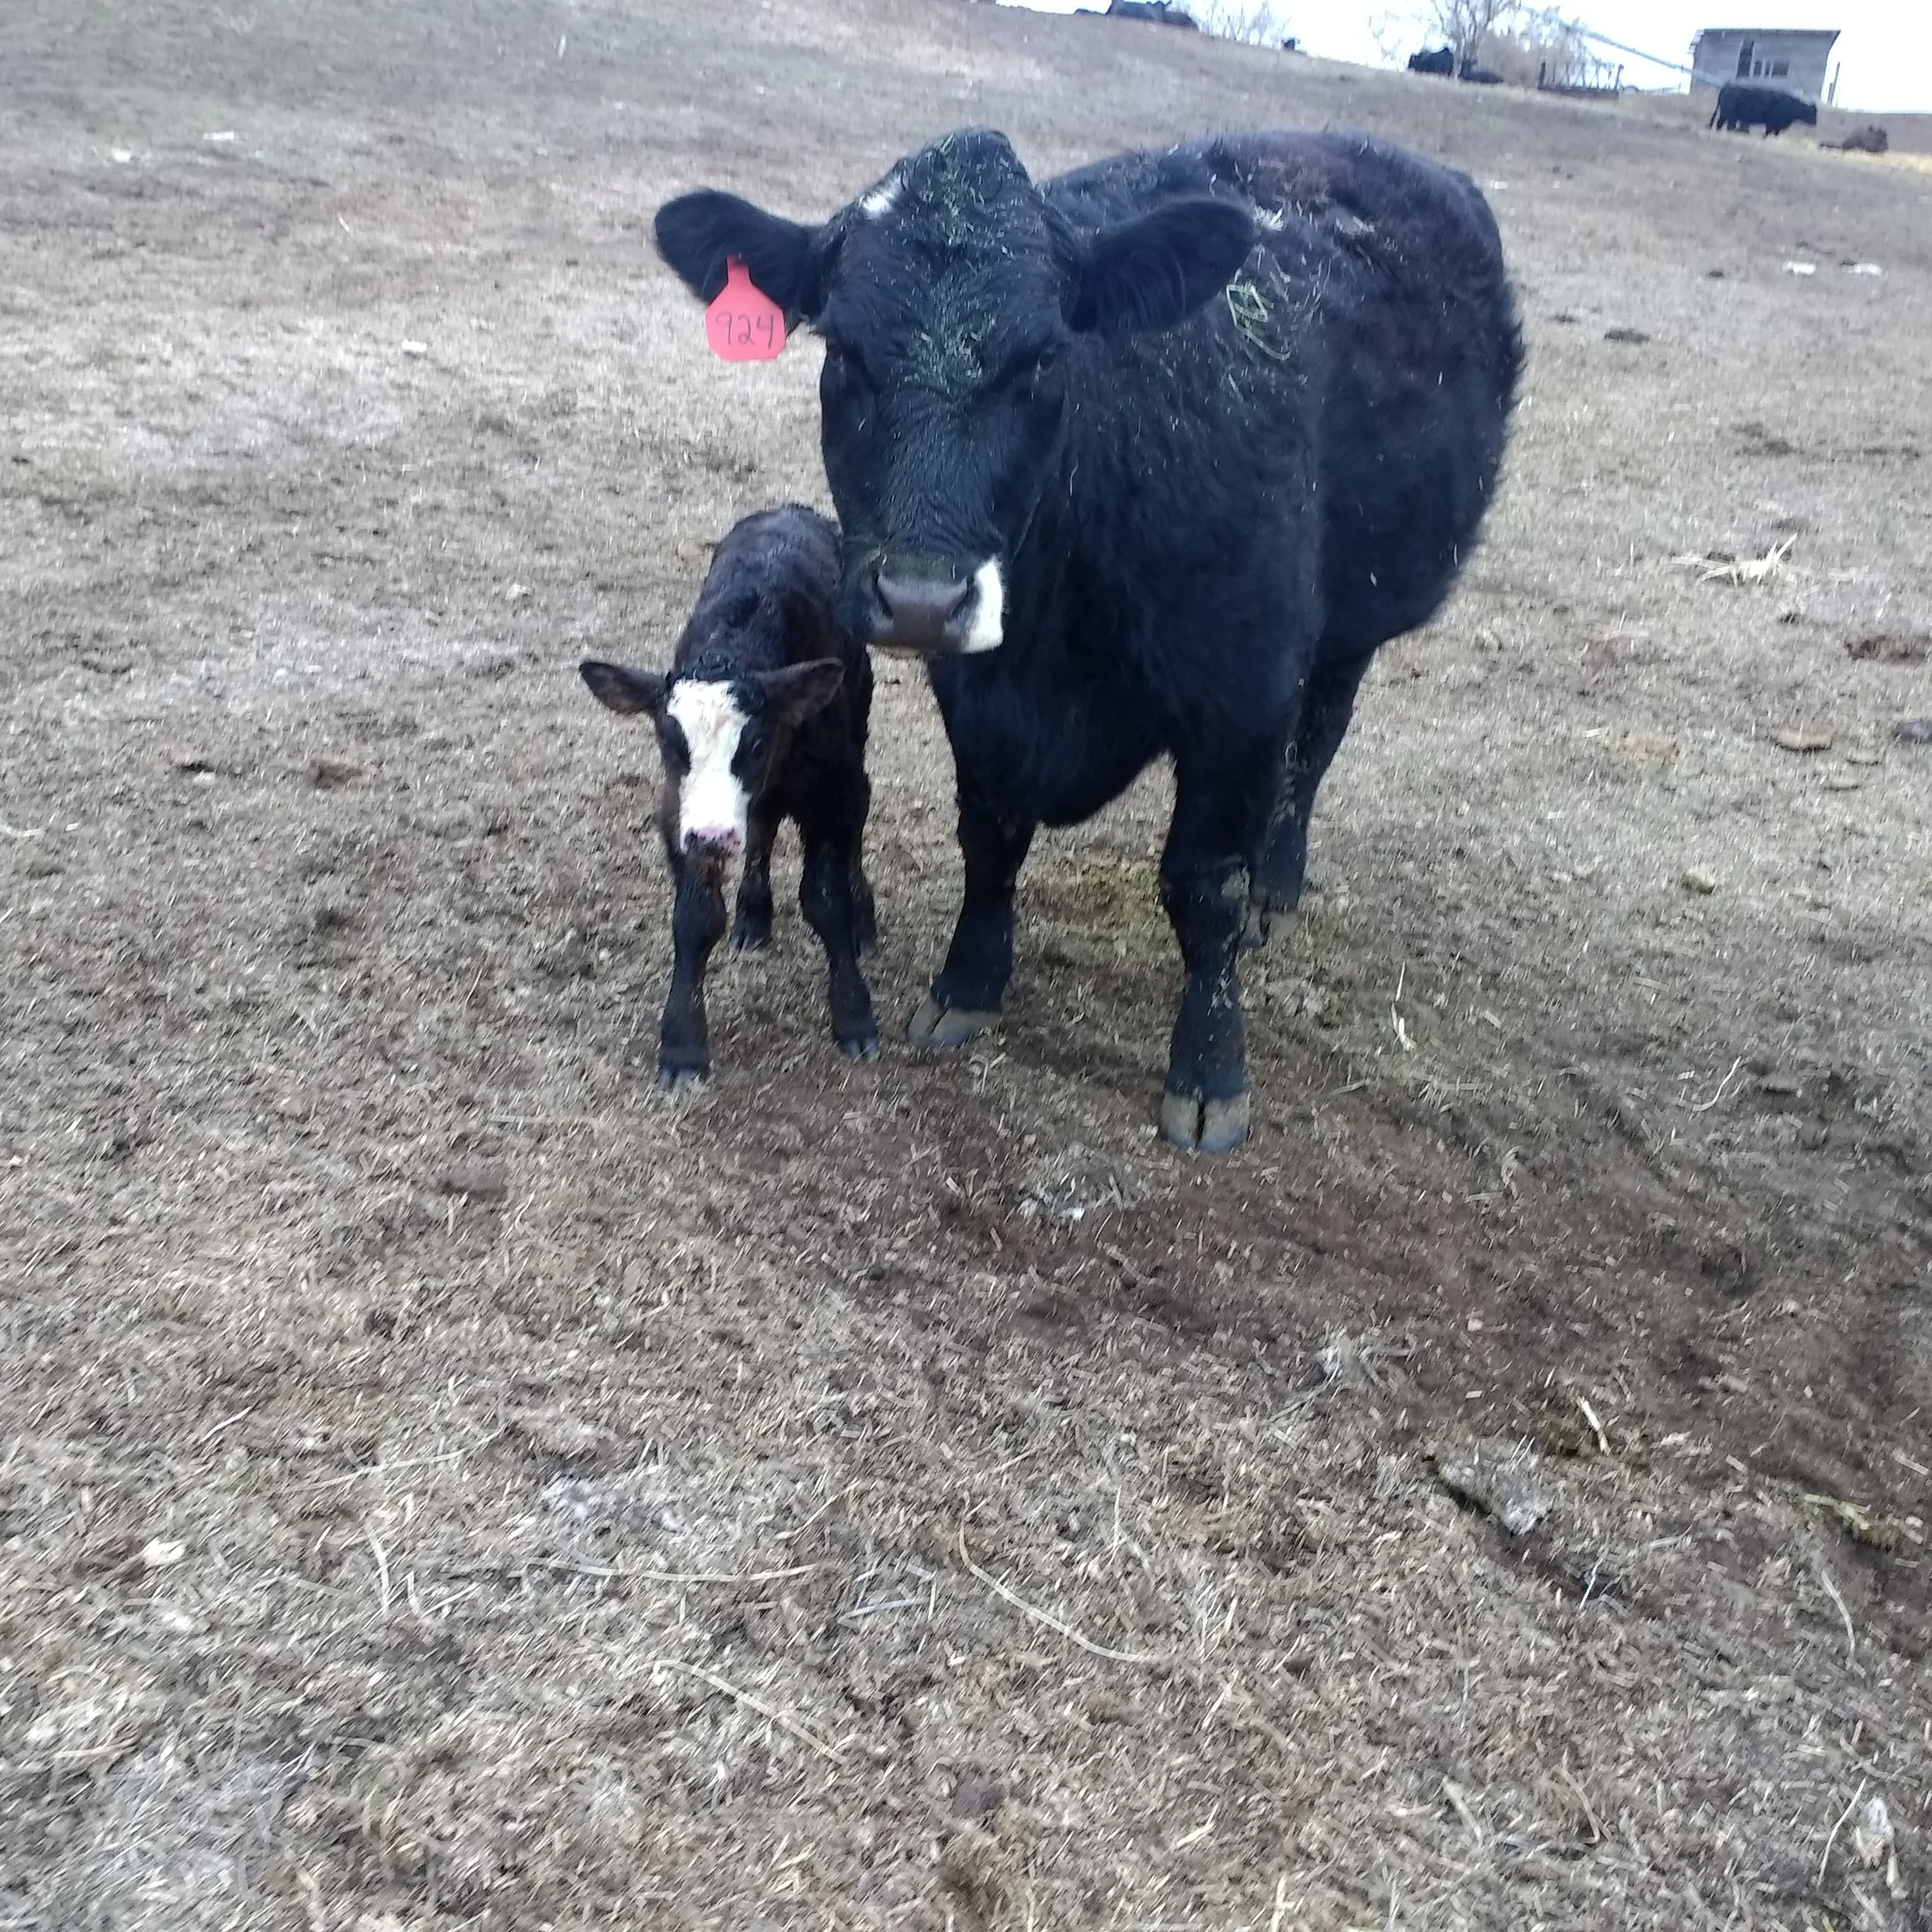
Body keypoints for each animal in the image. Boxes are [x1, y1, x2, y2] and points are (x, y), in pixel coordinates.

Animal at [579, 505, 878, 1086]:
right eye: (669, 741)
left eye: (757, 741)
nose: (715, 835)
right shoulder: (679, 813)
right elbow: (695, 918)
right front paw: (682, 1047)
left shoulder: (834, 788)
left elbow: (826, 901)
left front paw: (855, 1015)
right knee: (762, 825)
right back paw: (753, 915)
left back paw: (864, 918)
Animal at [655, 130, 1520, 1151]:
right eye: (843, 354)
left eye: (1040, 361)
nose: (919, 598)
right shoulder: (979, 698)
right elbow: (988, 838)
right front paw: (967, 983)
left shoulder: (1244, 697)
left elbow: (1203, 889)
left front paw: (1210, 1069)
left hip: (1351, 625)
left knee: (1317, 745)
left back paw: (1280, 881)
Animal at [1710, 83, 1817, 135]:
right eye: (1811, 113)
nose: (1815, 123)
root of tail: (1727, 87)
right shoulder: (1772, 123)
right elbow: (1767, 133)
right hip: (1731, 116)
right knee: (1729, 126)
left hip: (1725, 115)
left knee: (1720, 124)